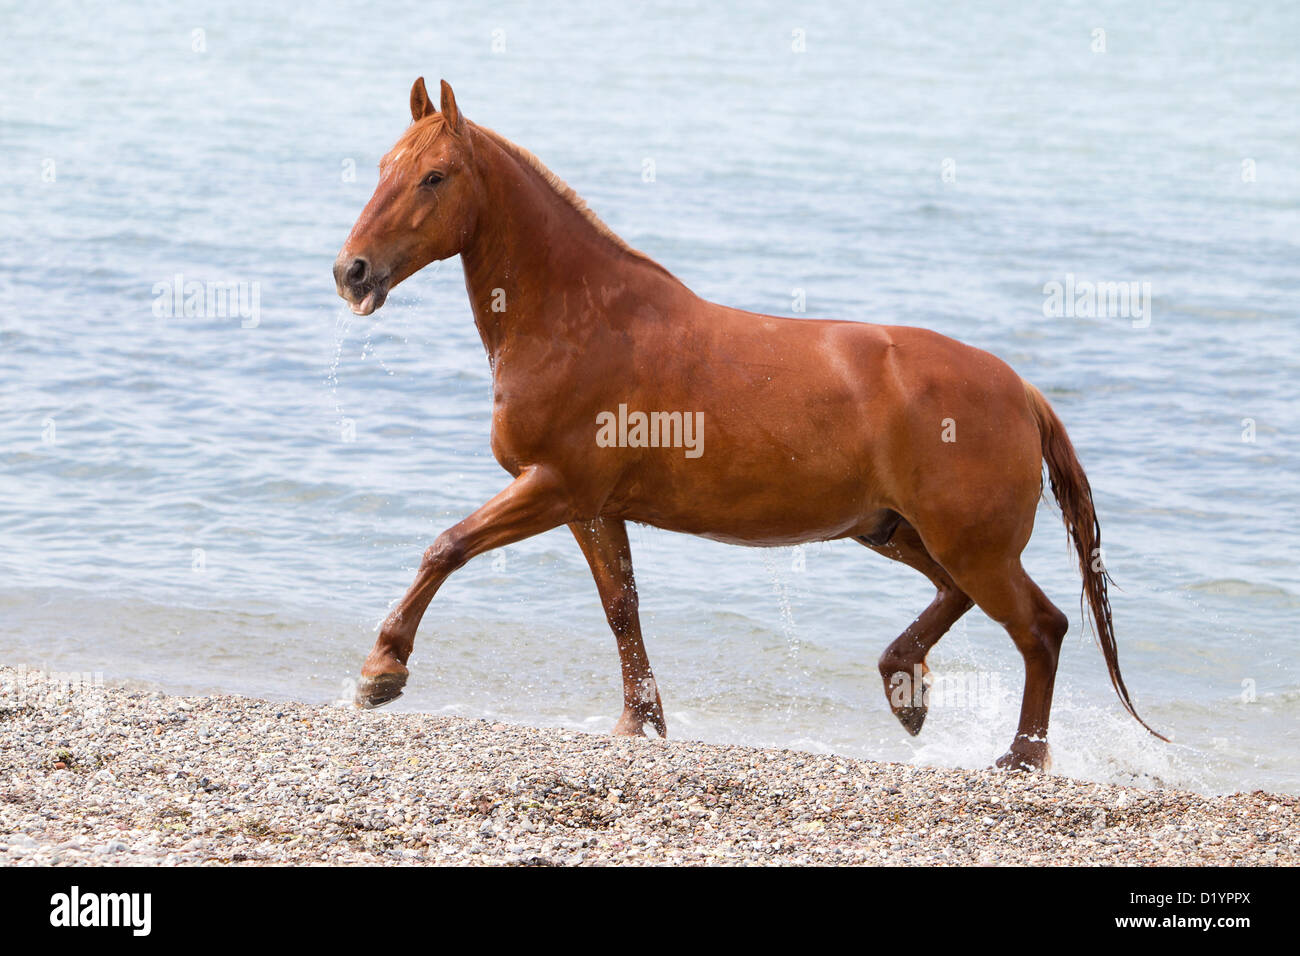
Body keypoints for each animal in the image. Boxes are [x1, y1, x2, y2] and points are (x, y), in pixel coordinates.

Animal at [333, 77, 1164, 770]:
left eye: (435, 176)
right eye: (381, 166)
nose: (352, 272)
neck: (582, 321)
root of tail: (1022, 391)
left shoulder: (554, 488)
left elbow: (447, 547)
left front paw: (382, 671)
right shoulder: (592, 508)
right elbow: (621, 609)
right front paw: (640, 723)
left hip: (969, 545)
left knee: (1041, 629)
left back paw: (1019, 759)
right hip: (896, 531)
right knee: (962, 600)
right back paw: (907, 687)